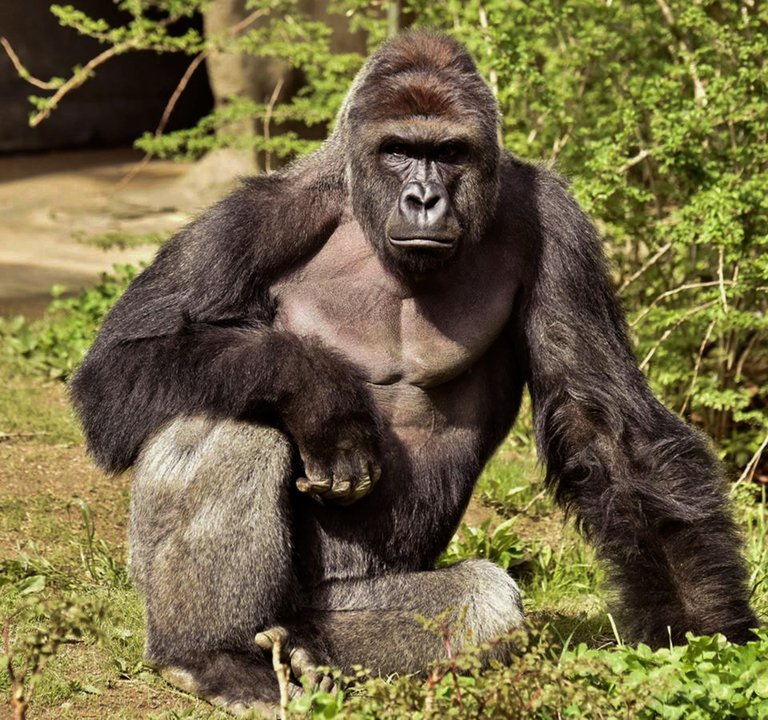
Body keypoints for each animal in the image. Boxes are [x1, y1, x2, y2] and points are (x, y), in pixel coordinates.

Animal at [70, 30, 758, 714]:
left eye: (449, 152)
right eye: (399, 150)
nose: (424, 198)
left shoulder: (559, 228)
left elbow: (606, 426)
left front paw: (700, 631)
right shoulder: (254, 217)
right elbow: (117, 366)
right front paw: (319, 392)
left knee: (480, 600)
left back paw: (307, 649)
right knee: (227, 415)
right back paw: (211, 655)